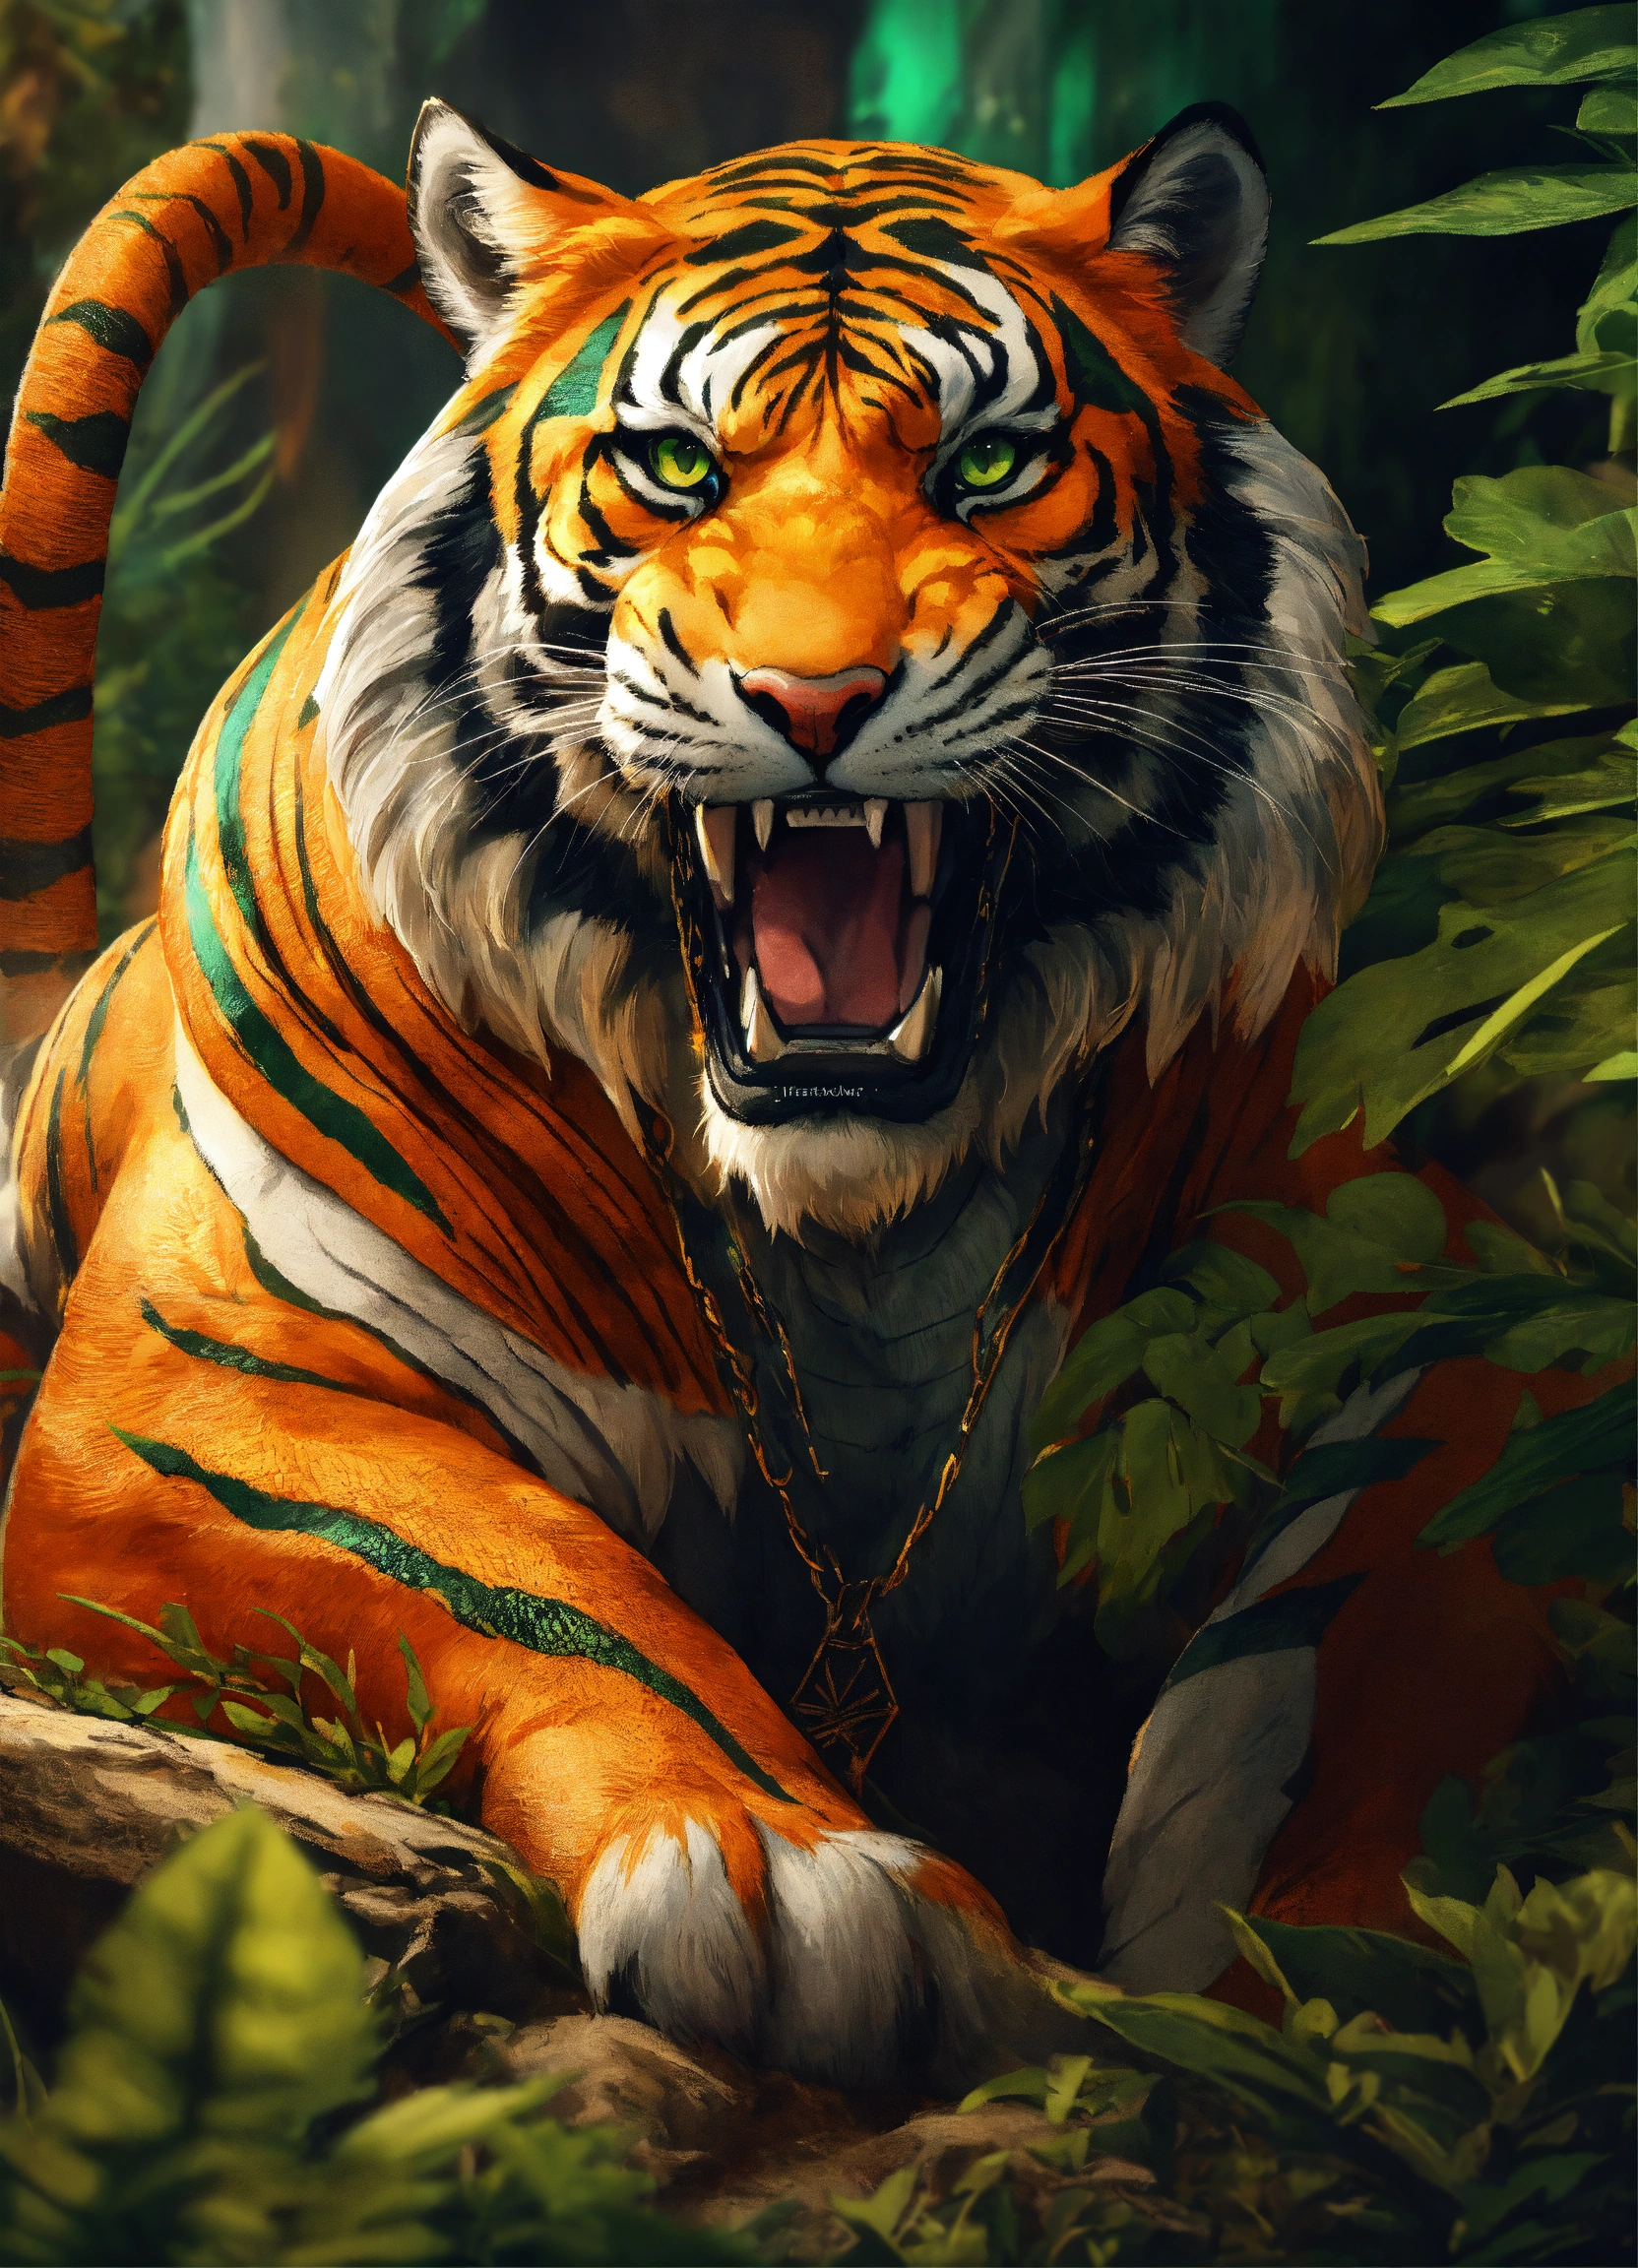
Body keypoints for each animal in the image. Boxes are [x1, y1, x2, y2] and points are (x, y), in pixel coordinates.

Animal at [0, 103, 1585, 2089]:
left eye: (989, 463)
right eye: (673, 465)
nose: (812, 698)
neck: (856, 1227)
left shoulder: (1418, 1299)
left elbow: (1398, 1628)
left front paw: (1338, 1958)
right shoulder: (205, 1376)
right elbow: (545, 1586)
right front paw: (784, 1877)